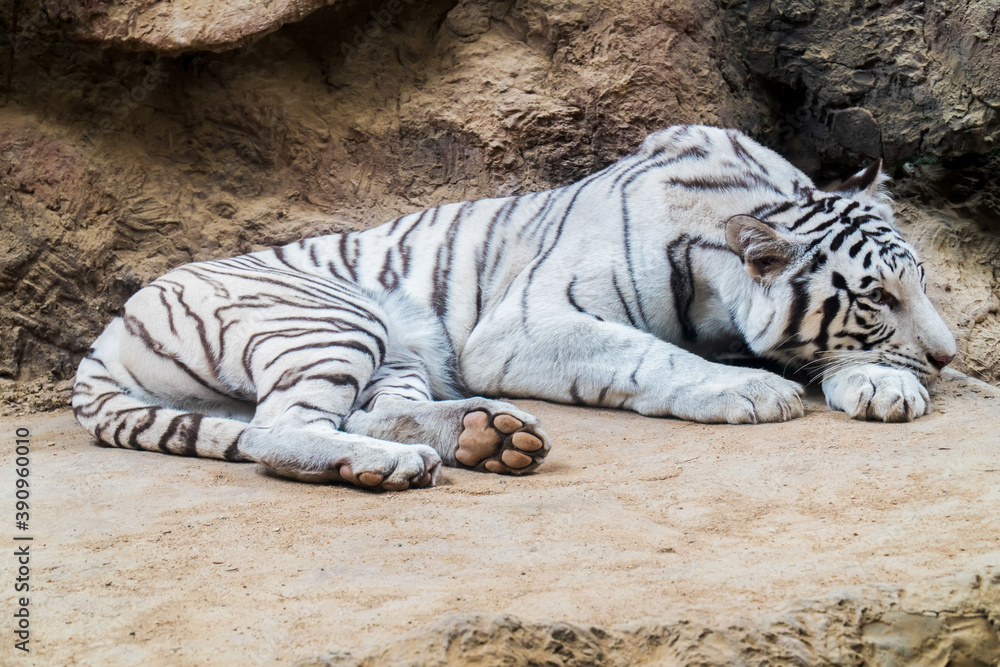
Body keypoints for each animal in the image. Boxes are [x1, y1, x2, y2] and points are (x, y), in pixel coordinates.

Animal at [72, 125, 957, 491]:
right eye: (877, 296)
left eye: (921, 283)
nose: (950, 357)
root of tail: (105, 335)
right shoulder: (524, 325)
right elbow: (647, 353)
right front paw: (750, 389)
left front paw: (884, 385)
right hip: (330, 318)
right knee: (276, 428)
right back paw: (393, 467)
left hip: (392, 349)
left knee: (364, 411)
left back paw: (483, 435)